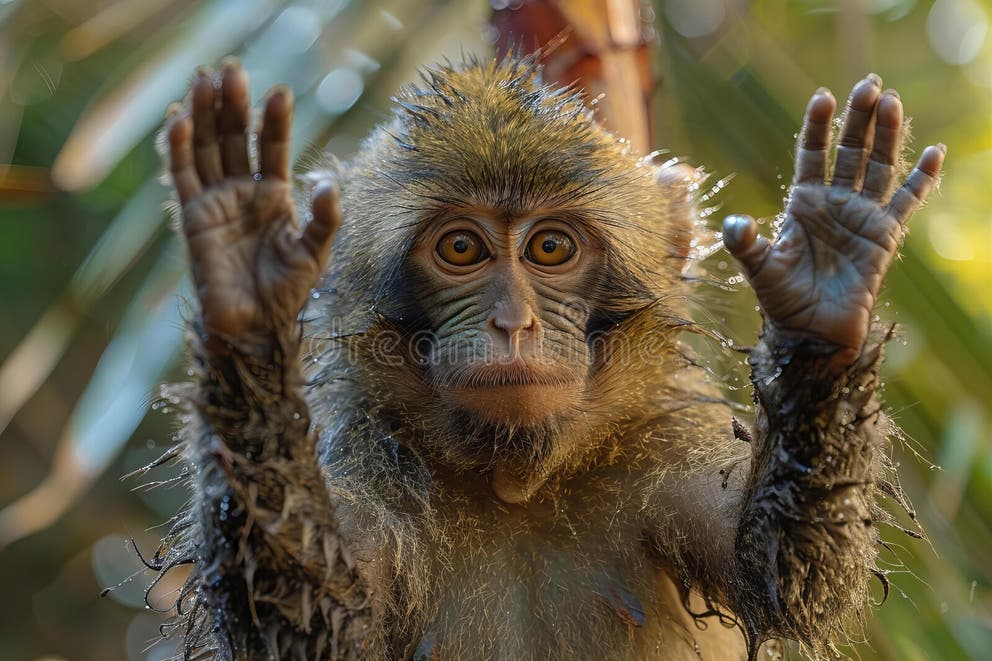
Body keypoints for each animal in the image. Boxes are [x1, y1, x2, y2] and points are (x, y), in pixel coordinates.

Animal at [152, 53, 944, 660]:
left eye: (551, 247)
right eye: (461, 247)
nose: (515, 323)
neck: (516, 478)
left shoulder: (662, 448)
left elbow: (781, 573)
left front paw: (827, 274)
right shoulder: (366, 454)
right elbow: (306, 622)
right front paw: (245, 291)